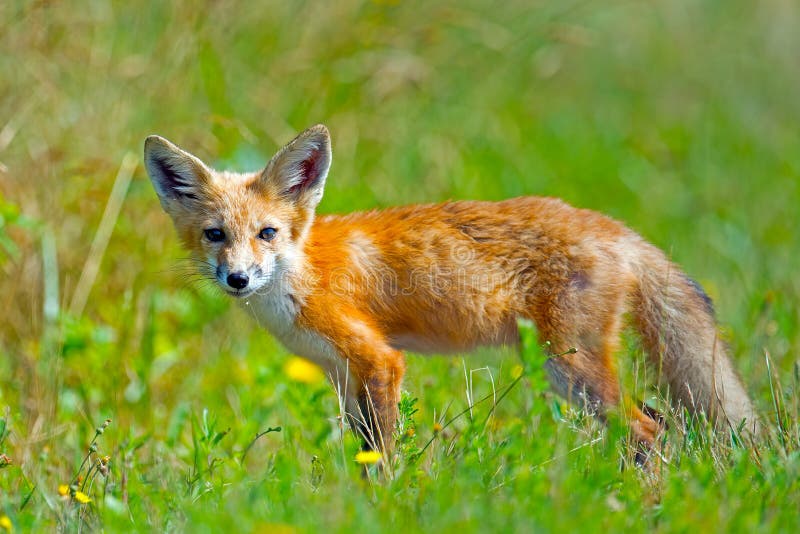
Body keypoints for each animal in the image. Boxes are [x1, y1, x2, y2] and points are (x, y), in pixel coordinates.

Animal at [144, 124, 759, 456]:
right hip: (570, 372)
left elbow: (382, 457)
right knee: (664, 421)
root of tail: (611, 226)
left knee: (647, 429)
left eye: (266, 233)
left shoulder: (380, 362)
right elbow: (360, 454)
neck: (302, 273)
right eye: (215, 235)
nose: (238, 279)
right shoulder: (344, 376)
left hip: (569, 367)